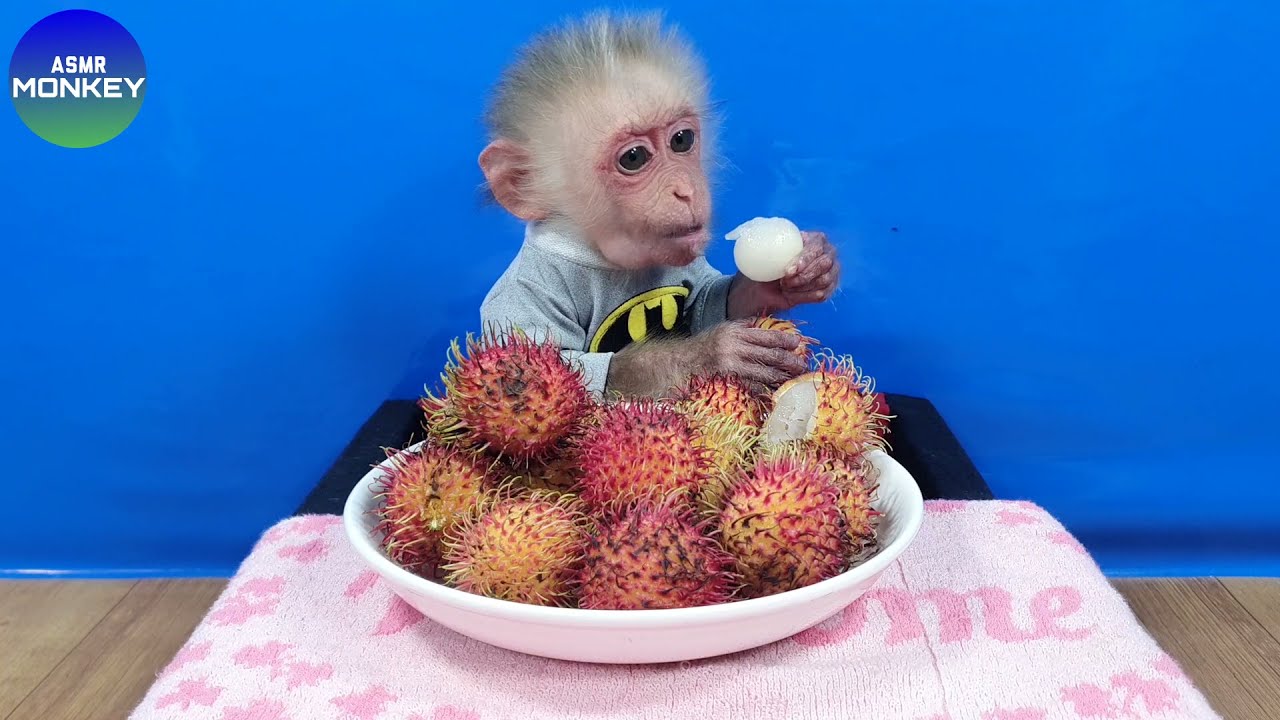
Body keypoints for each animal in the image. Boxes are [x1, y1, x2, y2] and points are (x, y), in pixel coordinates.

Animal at [476, 10, 840, 399]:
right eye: (634, 157)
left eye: (681, 139)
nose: (685, 191)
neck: (598, 254)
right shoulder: (527, 292)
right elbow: (564, 365)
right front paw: (716, 352)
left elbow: (706, 302)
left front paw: (801, 271)